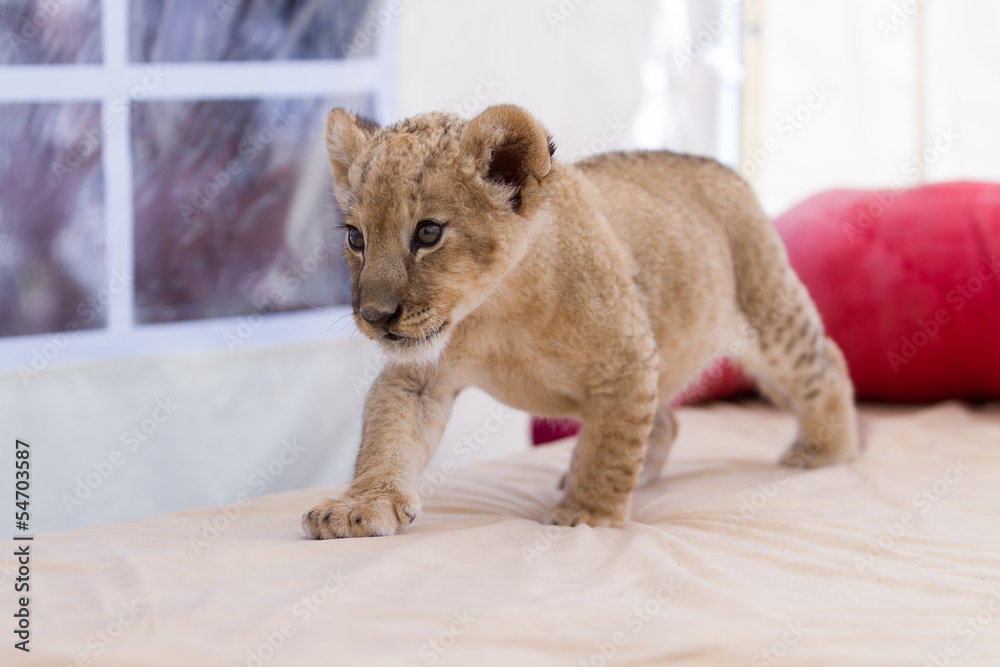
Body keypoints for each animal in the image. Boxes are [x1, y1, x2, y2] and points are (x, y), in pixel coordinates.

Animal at [301, 104, 858, 539]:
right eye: (356, 238)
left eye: (428, 233)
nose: (374, 317)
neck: (496, 309)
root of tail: (722, 167)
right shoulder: (417, 377)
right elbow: (387, 437)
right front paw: (358, 507)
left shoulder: (628, 362)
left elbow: (609, 452)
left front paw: (586, 516)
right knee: (667, 419)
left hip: (768, 310)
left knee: (825, 362)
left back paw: (824, 449)